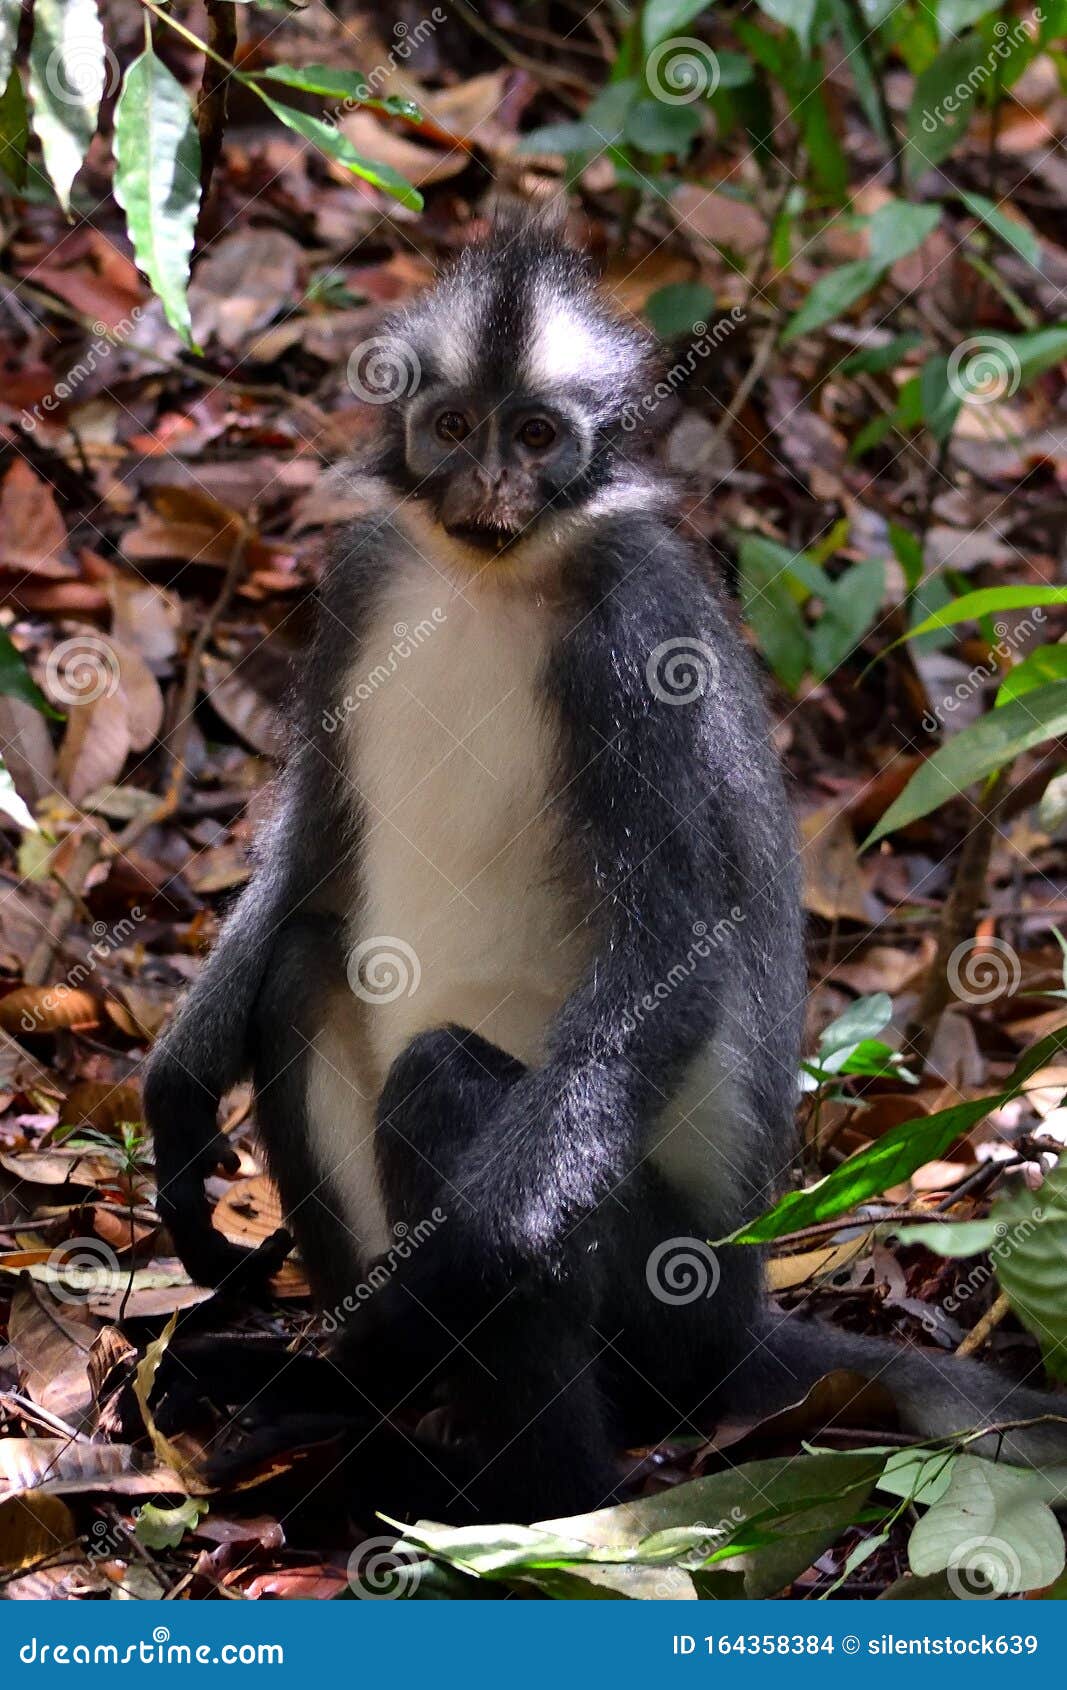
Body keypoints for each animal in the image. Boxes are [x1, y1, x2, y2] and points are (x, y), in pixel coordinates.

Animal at [144, 203, 1065, 1525]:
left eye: (537, 437)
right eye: (455, 427)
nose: (489, 484)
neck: (493, 574)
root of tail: (741, 1323)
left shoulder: (637, 644)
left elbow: (667, 951)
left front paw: (438, 1287)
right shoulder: (364, 576)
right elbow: (312, 848)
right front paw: (175, 1106)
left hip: (659, 1289)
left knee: (438, 1084)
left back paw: (487, 1491)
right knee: (306, 965)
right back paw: (350, 1387)